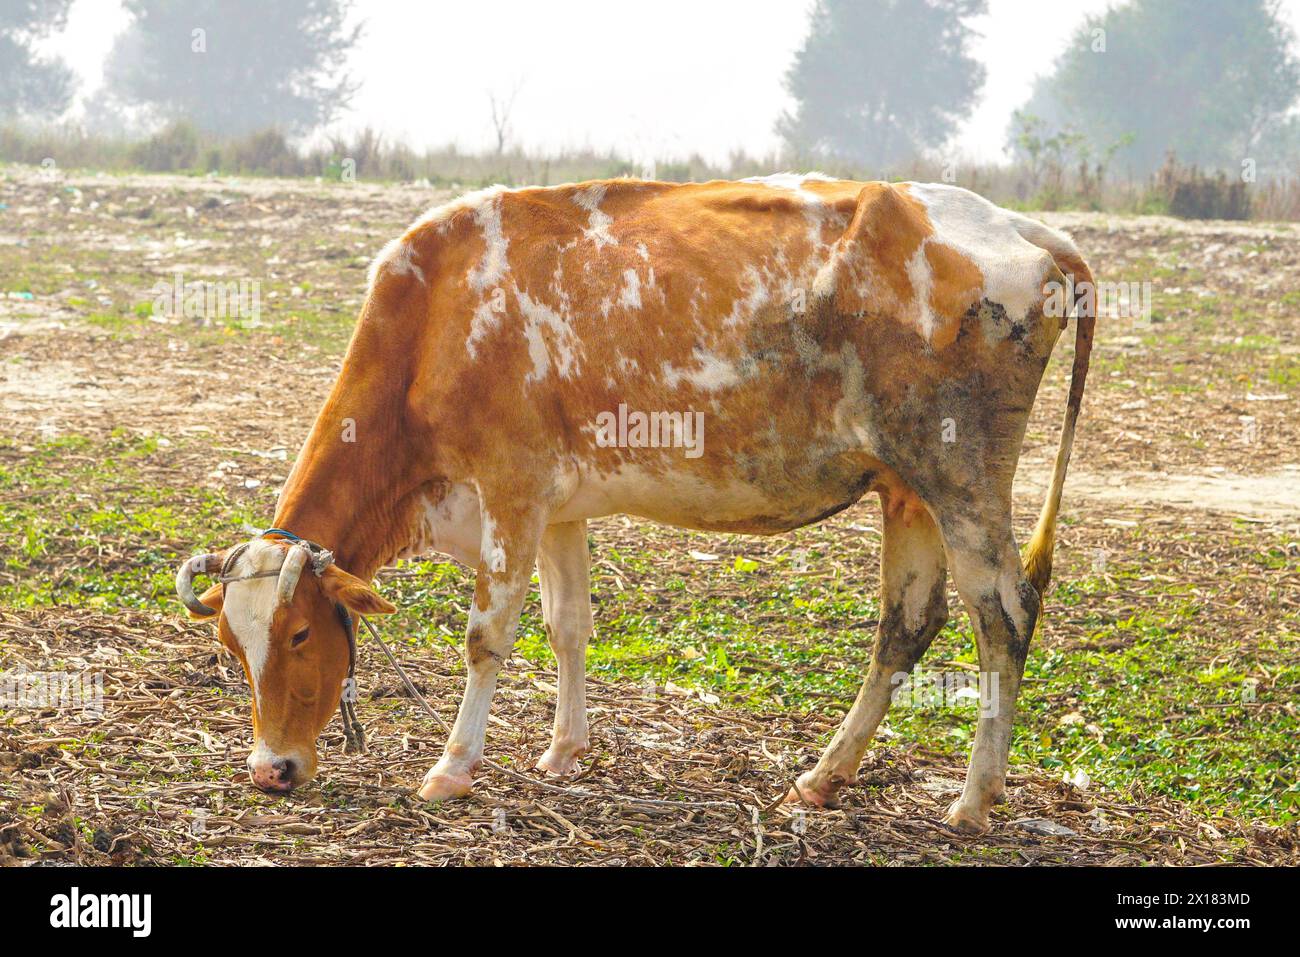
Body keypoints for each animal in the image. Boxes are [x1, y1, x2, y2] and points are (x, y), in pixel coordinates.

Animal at [175, 173, 1094, 833]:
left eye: (300, 633)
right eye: (230, 646)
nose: (271, 770)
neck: (435, 315)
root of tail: (1015, 224)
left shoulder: (510, 489)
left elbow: (486, 637)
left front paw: (453, 768)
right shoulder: (559, 506)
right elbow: (568, 625)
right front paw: (563, 751)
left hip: (961, 477)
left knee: (1003, 611)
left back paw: (973, 799)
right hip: (907, 488)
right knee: (907, 623)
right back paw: (822, 778)